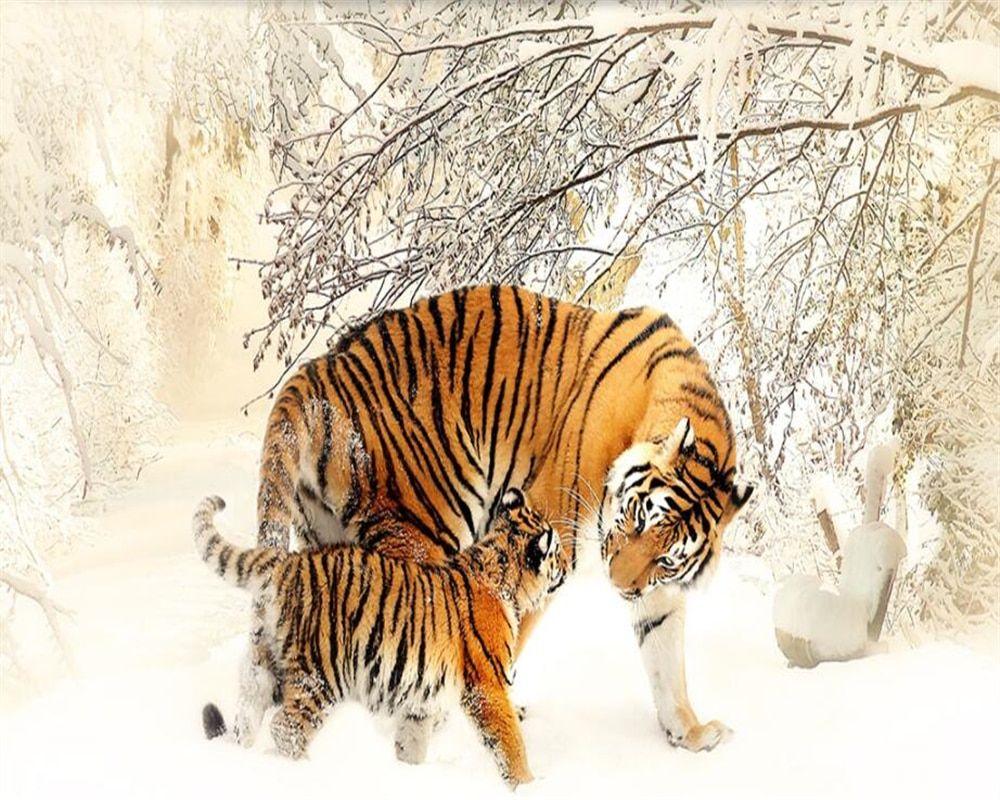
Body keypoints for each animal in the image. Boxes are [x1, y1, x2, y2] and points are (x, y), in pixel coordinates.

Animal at [194, 488, 565, 786]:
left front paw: (409, 774)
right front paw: (528, 784)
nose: (565, 565)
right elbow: (509, 741)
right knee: (286, 728)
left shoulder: (421, 698)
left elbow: (412, 741)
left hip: (263, 664)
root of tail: (288, 562)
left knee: (247, 713)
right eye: (557, 551)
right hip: (321, 674)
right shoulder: (487, 686)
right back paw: (306, 770)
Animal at [229, 284, 753, 755]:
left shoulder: (656, 588)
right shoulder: (548, 535)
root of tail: (318, 371)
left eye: (668, 558)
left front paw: (689, 732)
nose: (619, 585)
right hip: (423, 526)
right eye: (639, 519)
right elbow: (504, 635)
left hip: (326, 543)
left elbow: (666, 655)